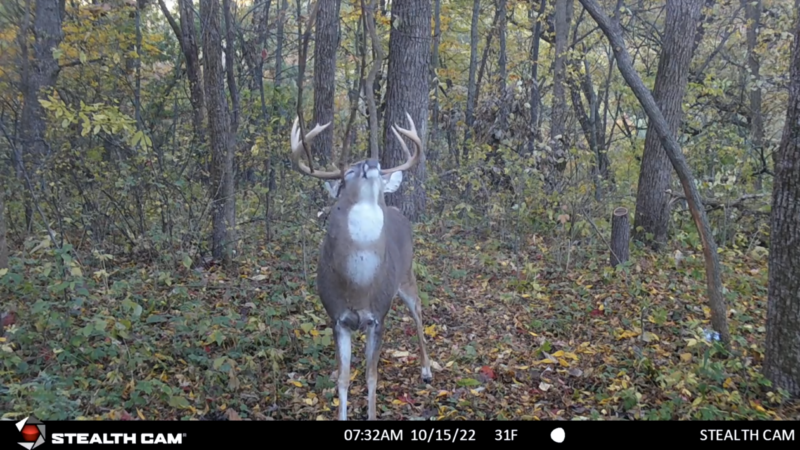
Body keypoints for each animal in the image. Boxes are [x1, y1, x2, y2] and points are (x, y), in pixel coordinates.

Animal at [288, 112, 432, 421]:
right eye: (348, 173)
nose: (371, 162)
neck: (357, 287)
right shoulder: (338, 319)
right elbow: (343, 378)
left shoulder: (377, 317)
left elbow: (371, 376)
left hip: (407, 275)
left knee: (418, 312)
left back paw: (427, 370)